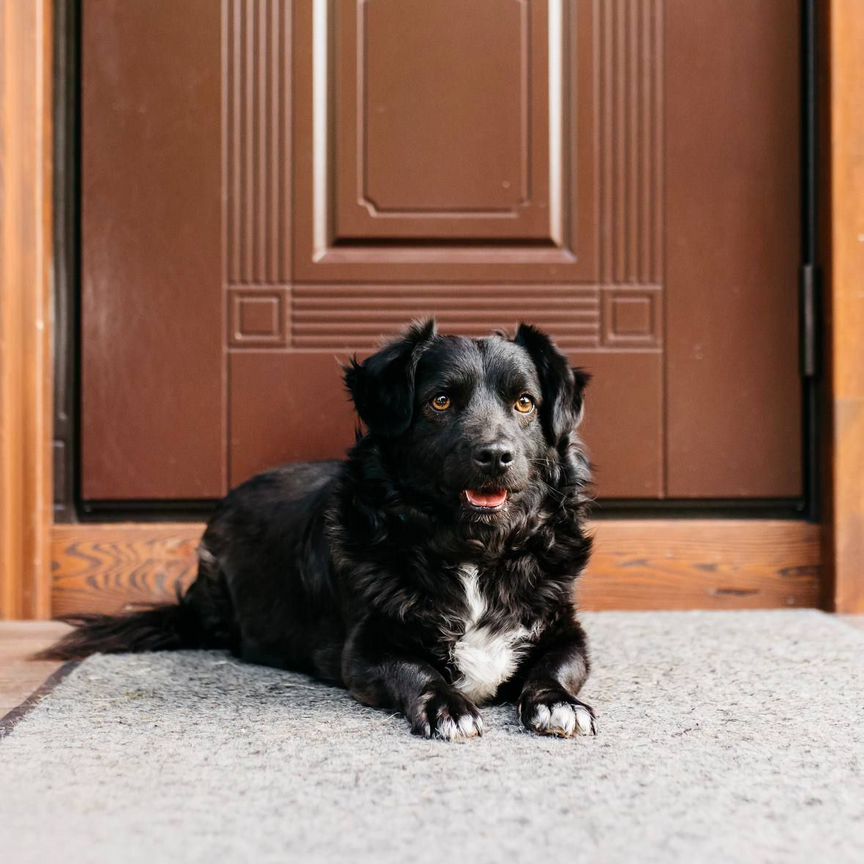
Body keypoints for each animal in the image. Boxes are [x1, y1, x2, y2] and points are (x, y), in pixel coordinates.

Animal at [45, 320, 592, 740]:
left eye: (524, 404)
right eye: (440, 402)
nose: (496, 456)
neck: (474, 550)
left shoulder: (566, 631)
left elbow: (554, 667)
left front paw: (557, 703)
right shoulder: (366, 651)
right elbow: (420, 670)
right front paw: (448, 707)